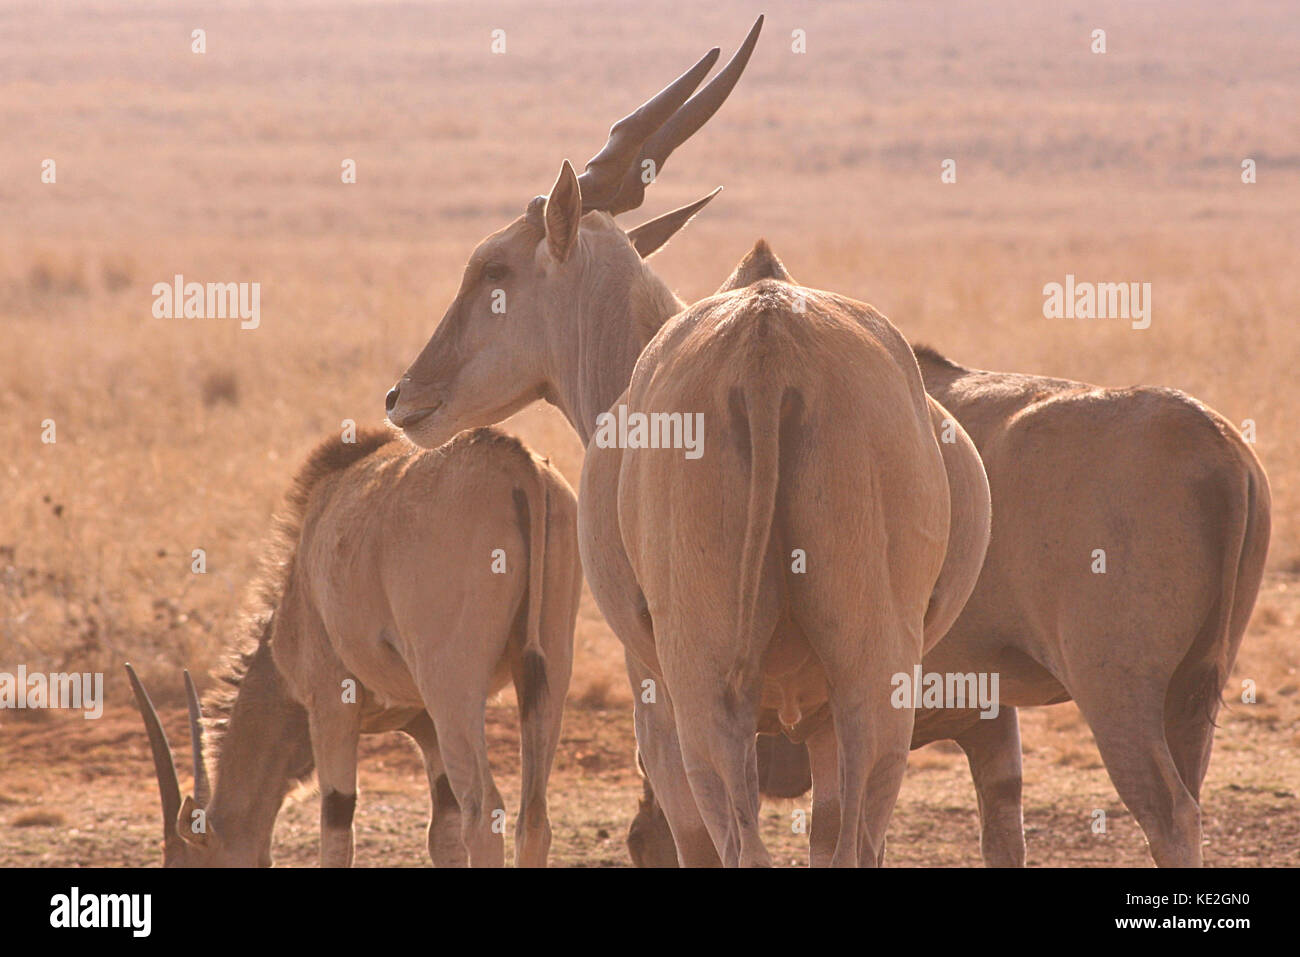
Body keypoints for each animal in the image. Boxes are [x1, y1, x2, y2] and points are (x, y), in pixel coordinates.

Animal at [128, 426, 582, 867]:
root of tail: (515, 461)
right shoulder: (425, 726)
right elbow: (443, 836)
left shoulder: (330, 705)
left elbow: (336, 829)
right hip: (545, 674)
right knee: (533, 816)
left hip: (452, 691)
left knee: (484, 810)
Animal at [385, 17, 992, 866]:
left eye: (492, 266)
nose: (403, 396)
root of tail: (768, 340)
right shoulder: (819, 718)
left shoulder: (655, 699)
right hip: (870, 683)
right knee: (854, 834)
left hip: (705, 693)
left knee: (738, 840)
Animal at [628, 324, 1272, 868]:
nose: (641, 840)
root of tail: (1212, 441)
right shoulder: (988, 718)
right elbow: (1001, 833)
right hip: (1188, 699)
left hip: (1118, 695)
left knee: (1170, 811)